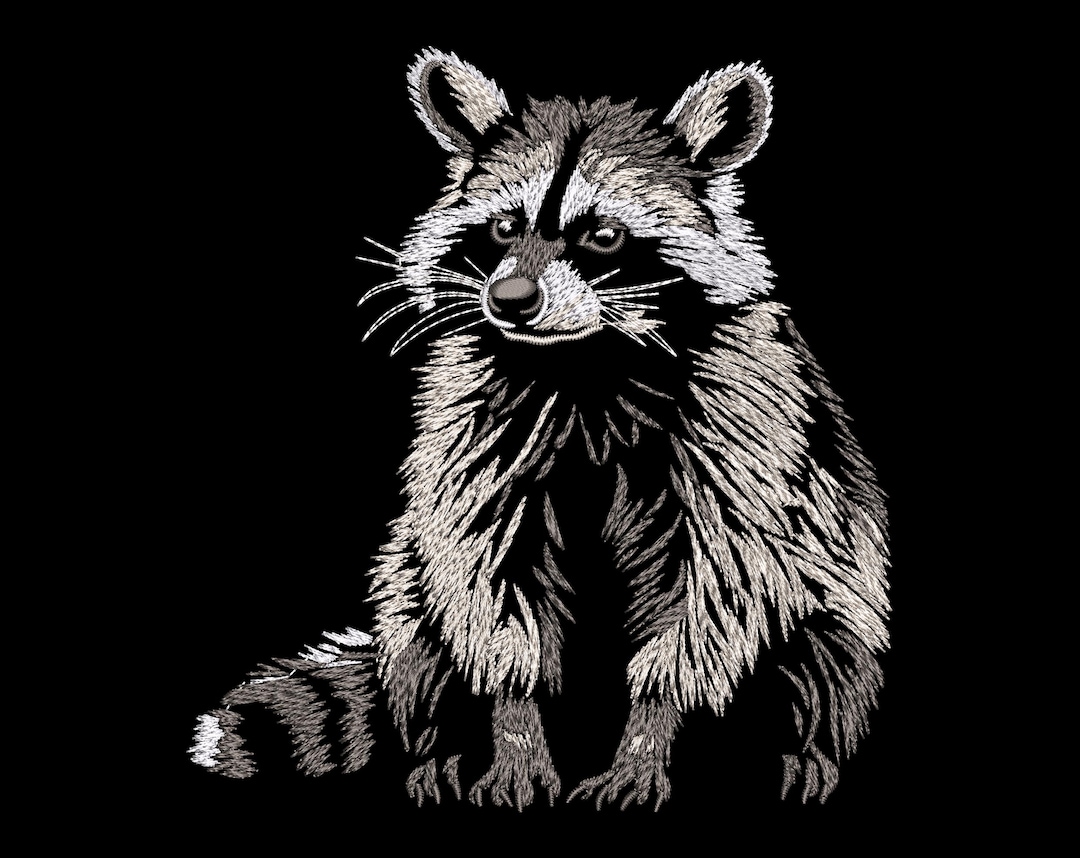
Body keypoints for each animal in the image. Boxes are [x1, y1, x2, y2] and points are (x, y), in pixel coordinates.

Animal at [191, 48, 890, 809]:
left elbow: (711, 597)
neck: (583, 363)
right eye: (503, 227)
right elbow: (492, 589)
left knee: (824, 646)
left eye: (603, 234)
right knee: (420, 631)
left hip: (839, 577)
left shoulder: (739, 435)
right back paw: (440, 744)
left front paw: (648, 736)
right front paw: (515, 731)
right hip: (407, 588)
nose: (510, 299)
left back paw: (802, 746)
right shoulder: (480, 434)